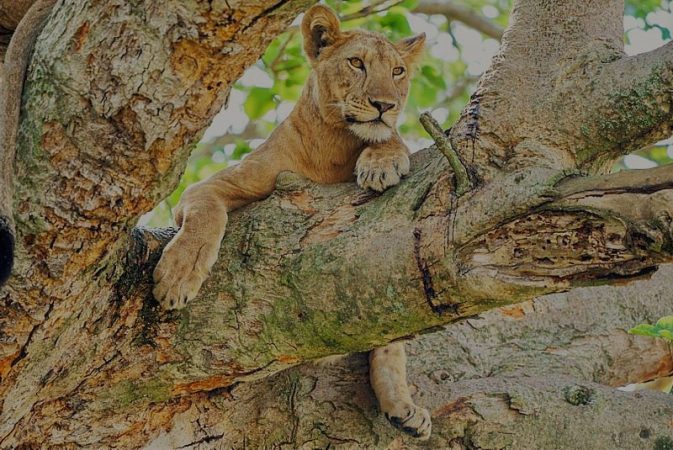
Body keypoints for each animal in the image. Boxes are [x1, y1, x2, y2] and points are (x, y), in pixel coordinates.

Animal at [153, 4, 431, 440]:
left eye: (398, 71)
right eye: (356, 63)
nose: (385, 104)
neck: (334, 146)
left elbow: (392, 339)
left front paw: (383, 159)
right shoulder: (212, 186)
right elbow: (204, 216)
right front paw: (178, 277)